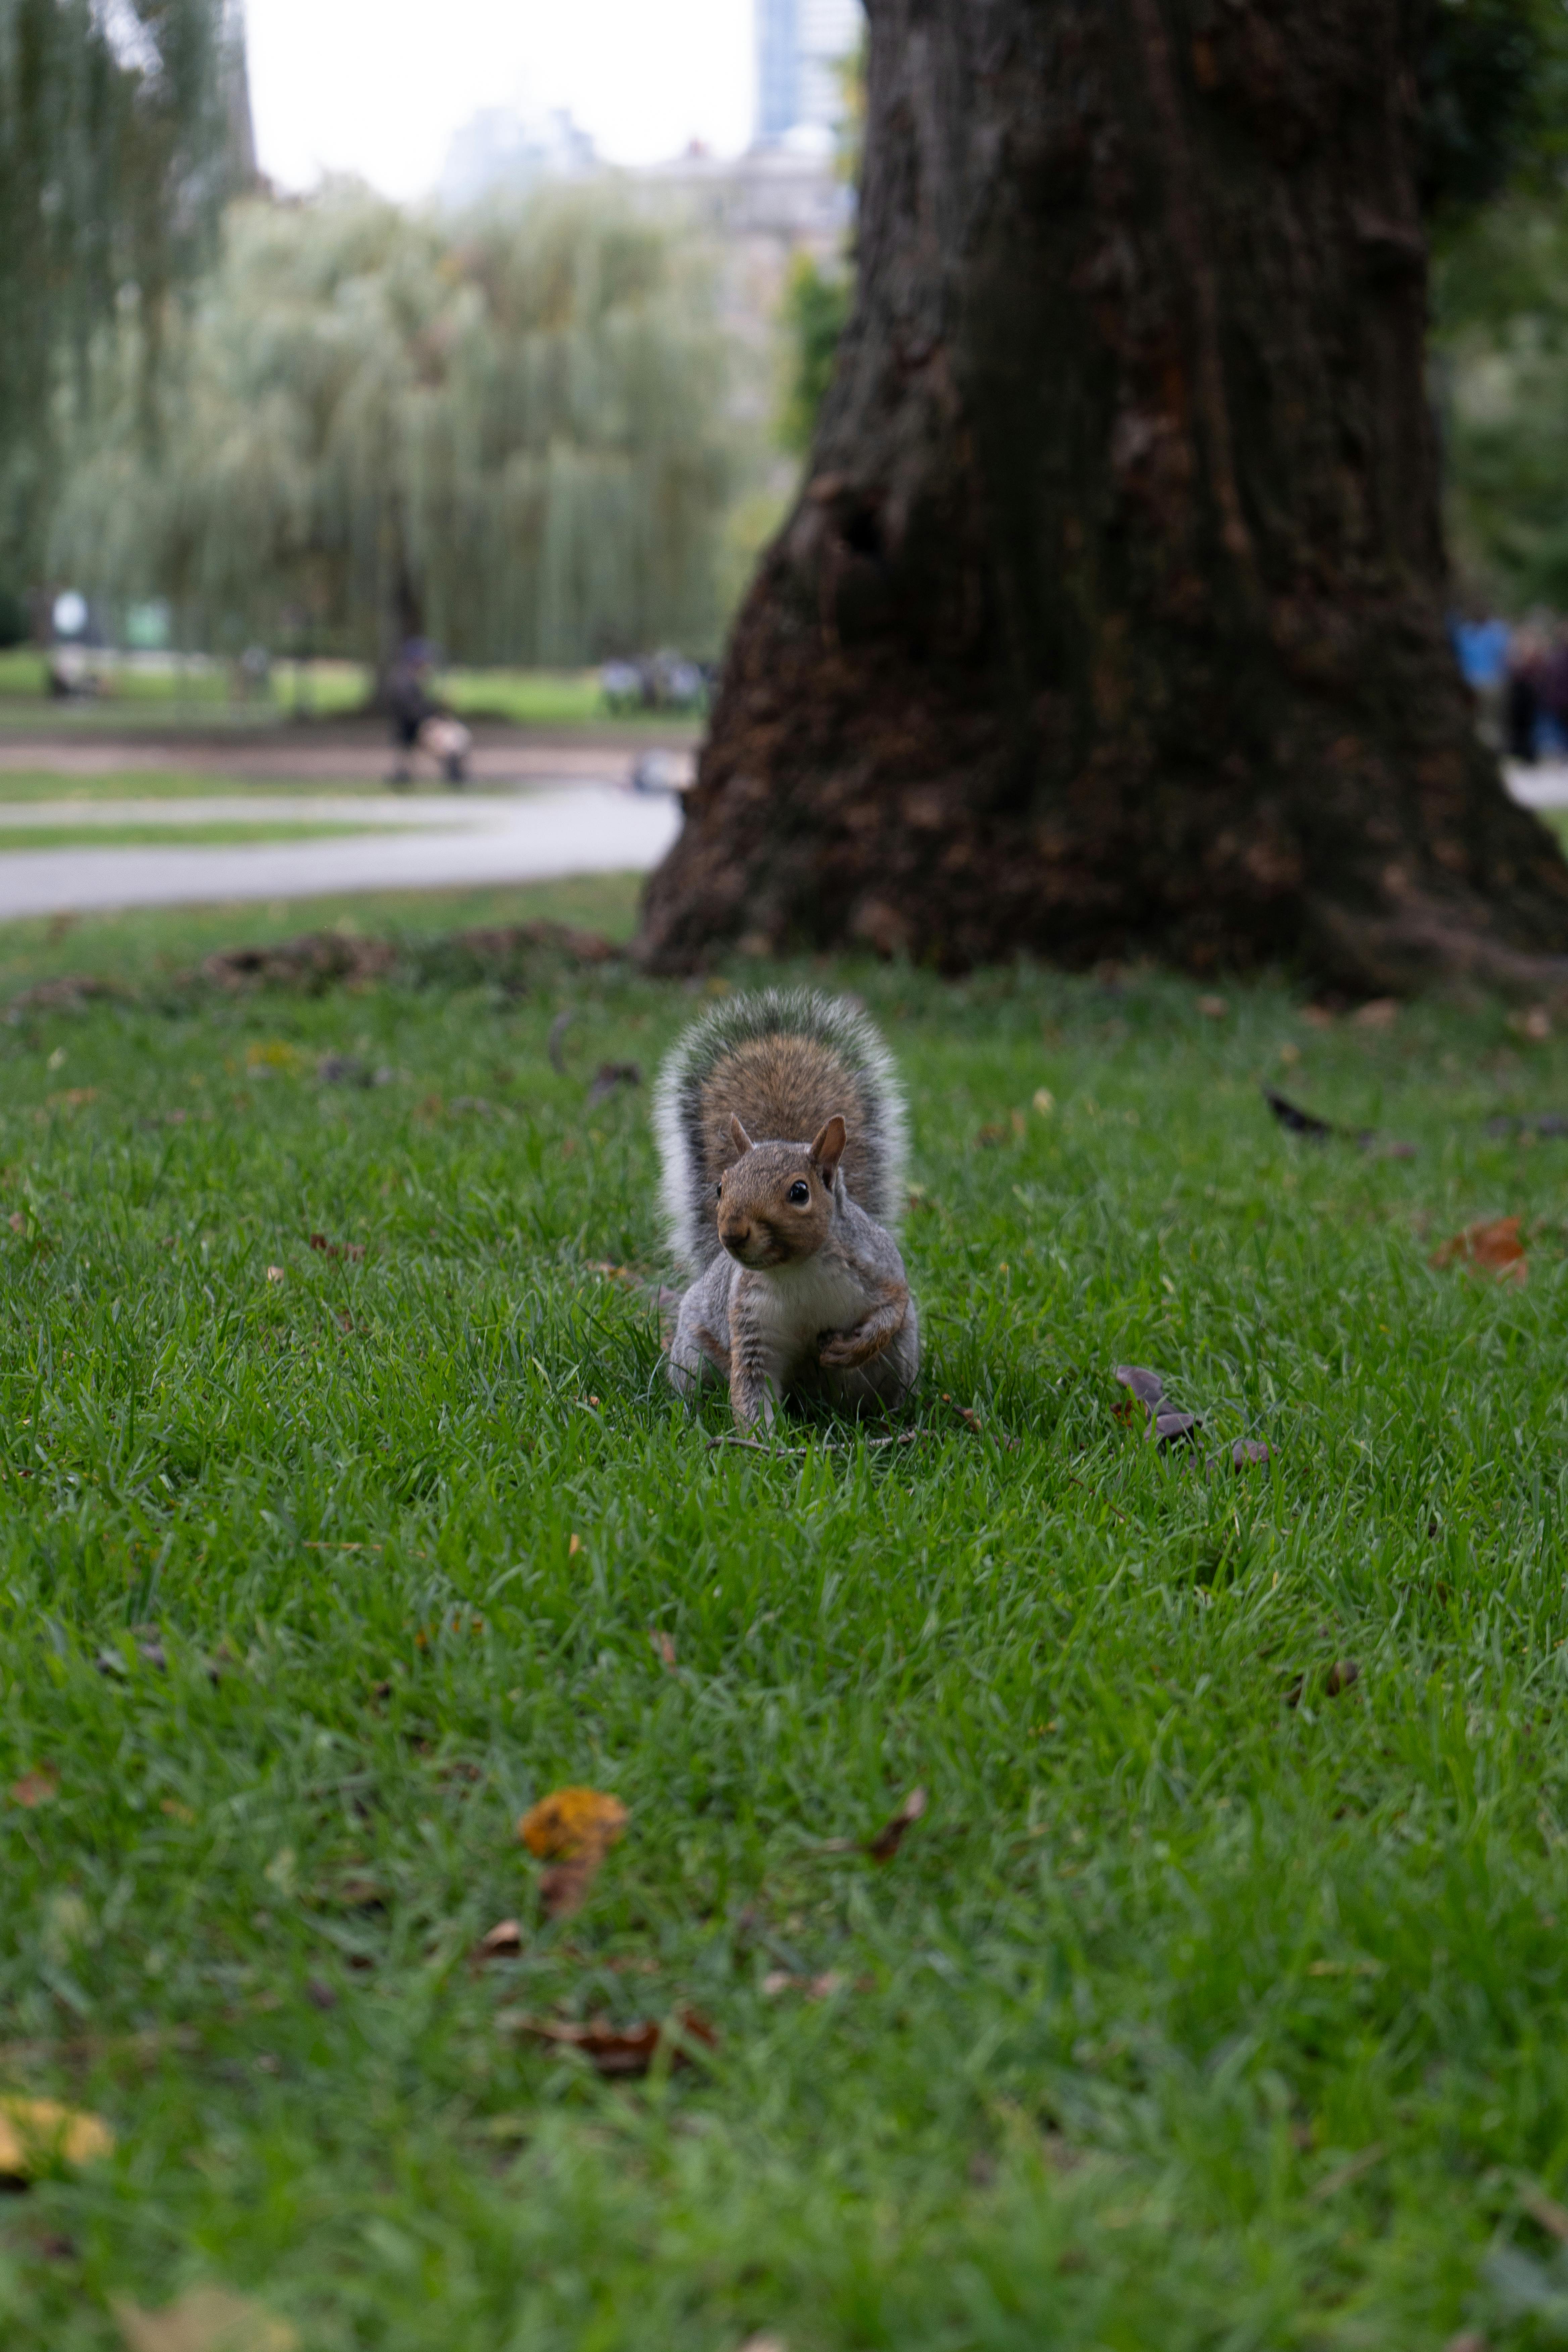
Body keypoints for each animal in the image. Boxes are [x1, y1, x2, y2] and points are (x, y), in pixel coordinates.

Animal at [655, 987, 919, 1429]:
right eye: (720, 1187)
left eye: (799, 1192)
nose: (732, 1233)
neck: (798, 1268)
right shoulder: (751, 1322)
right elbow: (751, 1385)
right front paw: (759, 1440)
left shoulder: (880, 1271)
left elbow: (891, 1310)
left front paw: (850, 1348)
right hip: (694, 1351)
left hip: (901, 1357)